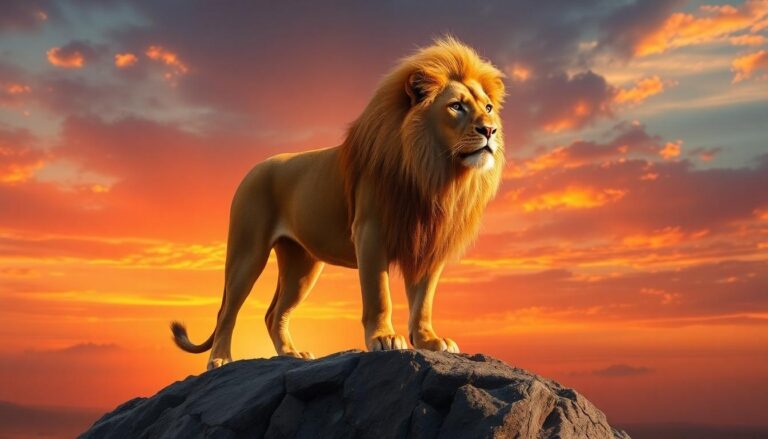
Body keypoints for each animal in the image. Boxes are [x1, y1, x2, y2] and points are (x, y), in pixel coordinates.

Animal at [171, 36, 506, 370]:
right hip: (247, 252)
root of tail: (255, 168)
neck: (435, 172)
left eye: (488, 107)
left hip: (301, 265)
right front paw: (384, 338)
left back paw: (292, 354)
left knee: (274, 313)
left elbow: (423, 300)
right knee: (227, 310)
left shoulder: (429, 242)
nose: (490, 130)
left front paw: (430, 341)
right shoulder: (370, 232)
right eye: (456, 106)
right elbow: (378, 293)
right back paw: (221, 359)